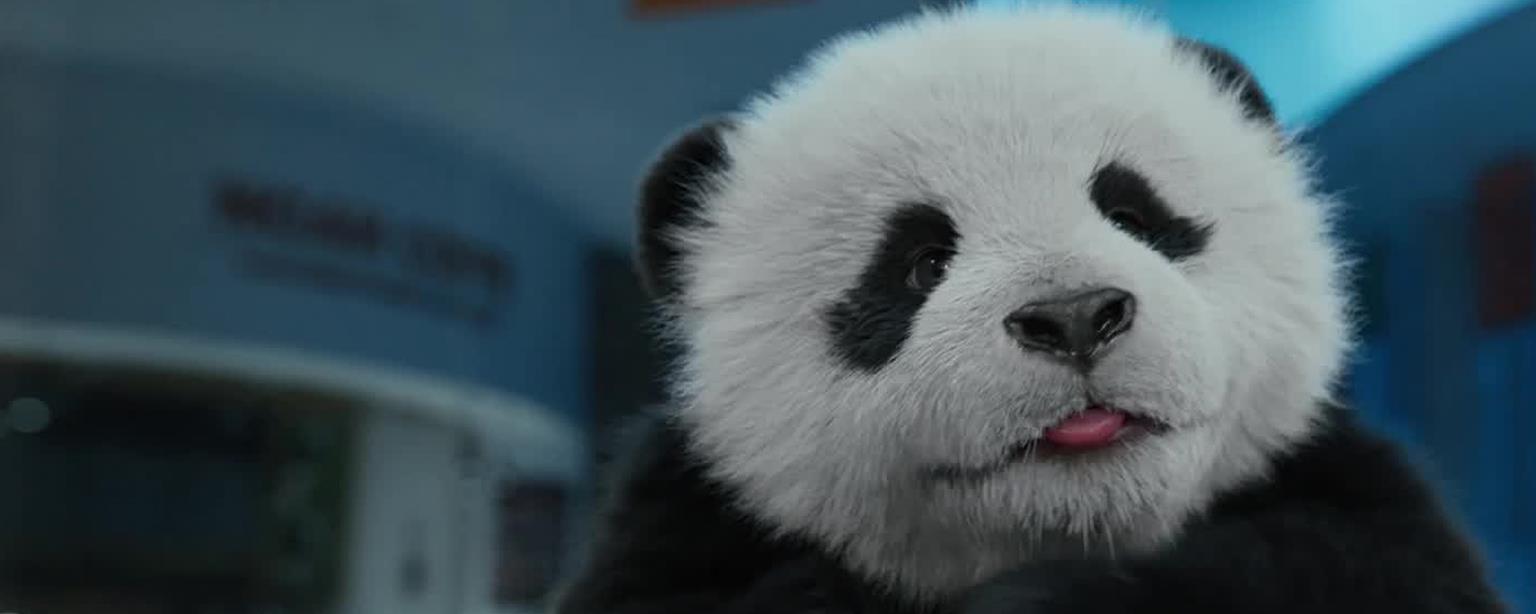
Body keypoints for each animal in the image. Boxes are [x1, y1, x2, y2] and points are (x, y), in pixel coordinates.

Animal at [555, 4, 1508, 614]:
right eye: (920, 263)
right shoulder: (679, 522)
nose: (1076, 316)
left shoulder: (1355, 492)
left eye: (1134, 215)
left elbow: (1343, 565)